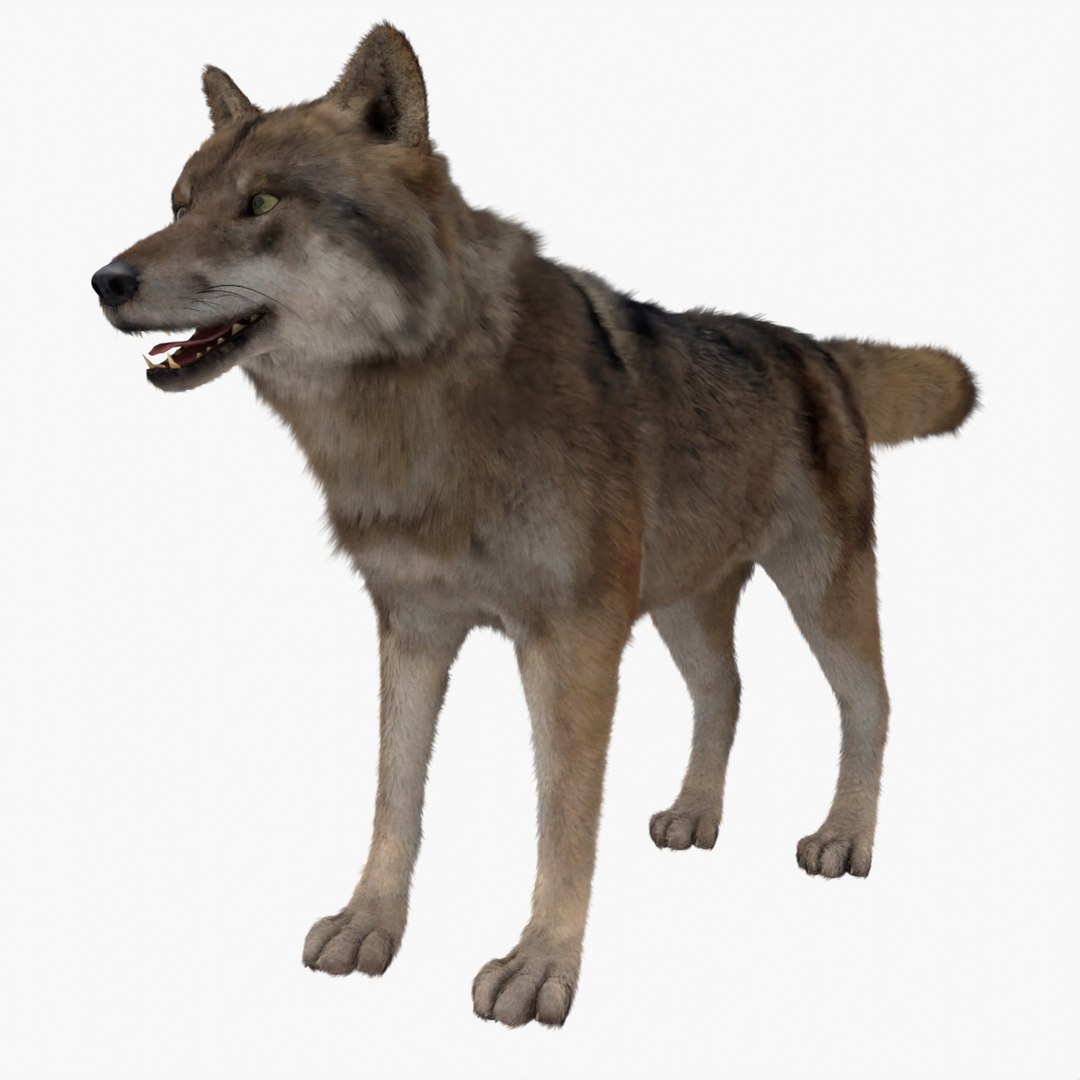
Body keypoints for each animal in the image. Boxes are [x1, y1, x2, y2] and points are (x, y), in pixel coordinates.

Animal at [92, 23, 977, 1027]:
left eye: (262, 203)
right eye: (177, 204)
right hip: (682, 605)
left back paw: (844, 838)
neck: (416, 414)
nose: (106, 281)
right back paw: (696, 815)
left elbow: (563, 818)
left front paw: (541, 966)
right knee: (727, 690)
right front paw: (370, 925)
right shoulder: (413, 627)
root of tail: (815, 347)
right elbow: (395, 796)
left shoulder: (571, 641)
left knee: (871, 703)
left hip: (820, 592)